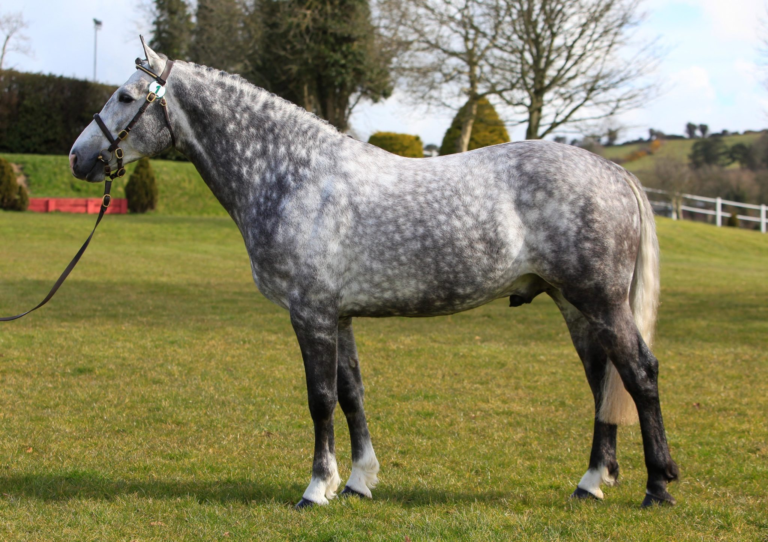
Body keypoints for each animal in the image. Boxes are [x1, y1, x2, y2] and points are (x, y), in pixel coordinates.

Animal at [69, 39, 679, 509]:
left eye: (125, 96)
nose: (78, 156)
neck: (294, 174)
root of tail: (613, 171)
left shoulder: (310, 314)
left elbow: (319, 399)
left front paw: (316, 489)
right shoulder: (338, 316)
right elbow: (352, 394)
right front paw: (359, 482)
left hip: (600, 301)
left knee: (640, 374)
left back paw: (658, 488)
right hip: (574, 304)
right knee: (603, 381)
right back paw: (592, 481)